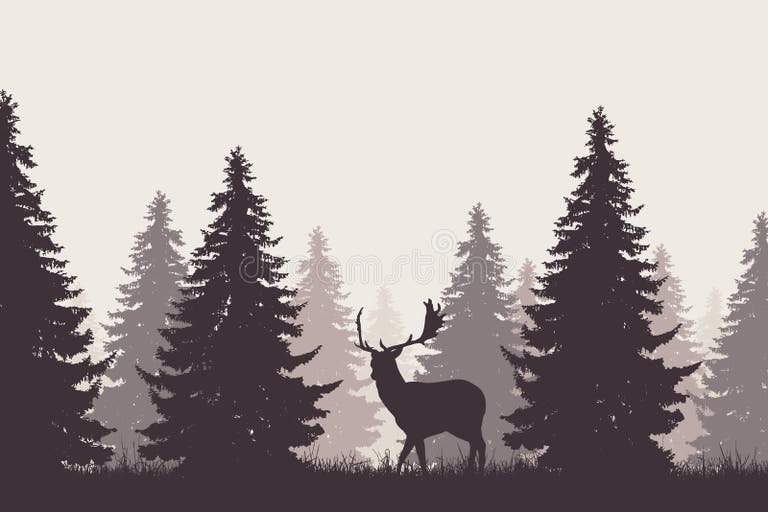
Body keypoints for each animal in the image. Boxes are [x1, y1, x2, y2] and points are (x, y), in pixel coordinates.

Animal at [355, 299, 486, 473]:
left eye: (388, 362)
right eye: (373, 362)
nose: (373, 375)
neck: (398, 401)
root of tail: (483, 397)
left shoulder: (416, 429)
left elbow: (418, 459)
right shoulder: (413, 432)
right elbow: (406, 457)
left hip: (467, 421)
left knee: (480, 444)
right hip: (465, 424)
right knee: (475, 443)